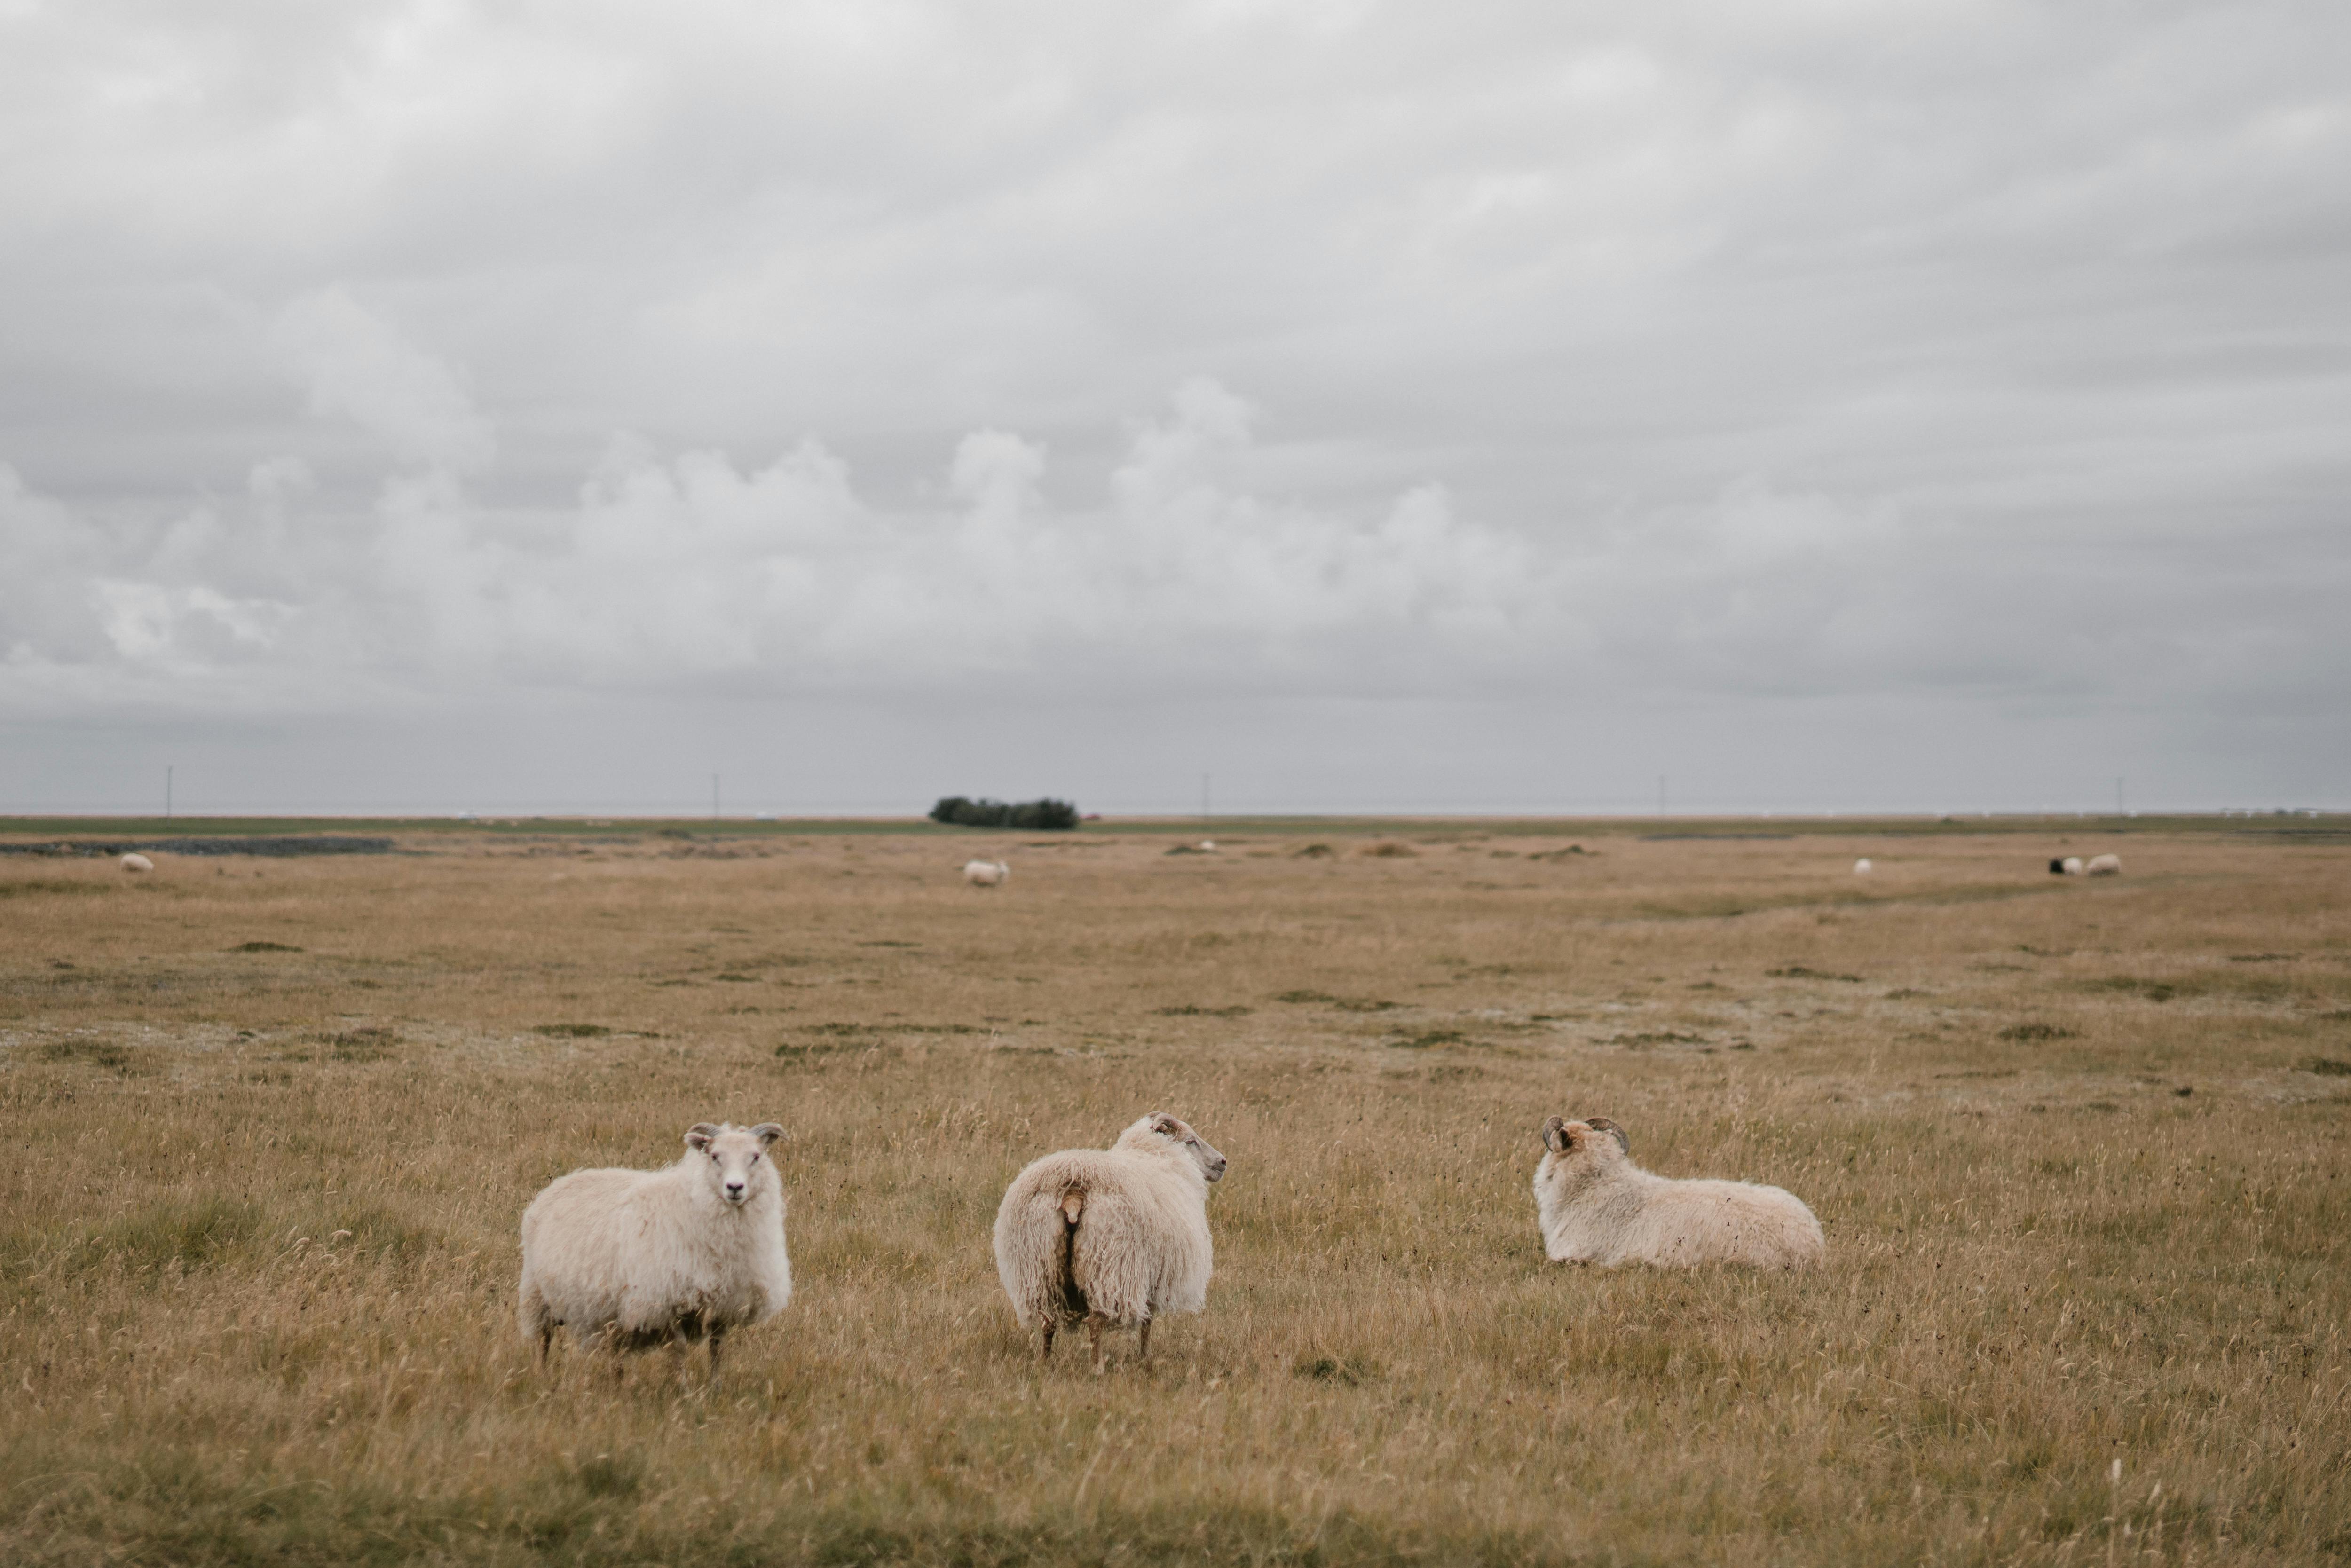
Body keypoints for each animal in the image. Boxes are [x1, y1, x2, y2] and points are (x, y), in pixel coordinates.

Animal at [518, 1121, 790, 1378]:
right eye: (715, 1156)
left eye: (756, 1157)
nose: (735, 1188)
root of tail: (561, 1182)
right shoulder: (666, 1303)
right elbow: (679, 1351)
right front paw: (684, 1390)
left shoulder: (725, 1304)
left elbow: (717, 1350)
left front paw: (715, 1387)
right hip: (537, 1294)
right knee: (543, 1341)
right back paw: (544, 1379)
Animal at [993, 1112, 1227, 1369]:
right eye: (1190, 1141)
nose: (1223, 1162)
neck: (1158, 1154)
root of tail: (1074, 1190)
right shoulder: (1151, 1275)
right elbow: (1147, 1321)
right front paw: (1145, 1359)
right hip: (1109, 1264)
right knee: (1096, 1322)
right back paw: (1098, 1367)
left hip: (1040, 1266)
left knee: (1048, 1320)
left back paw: (1045, 1364)